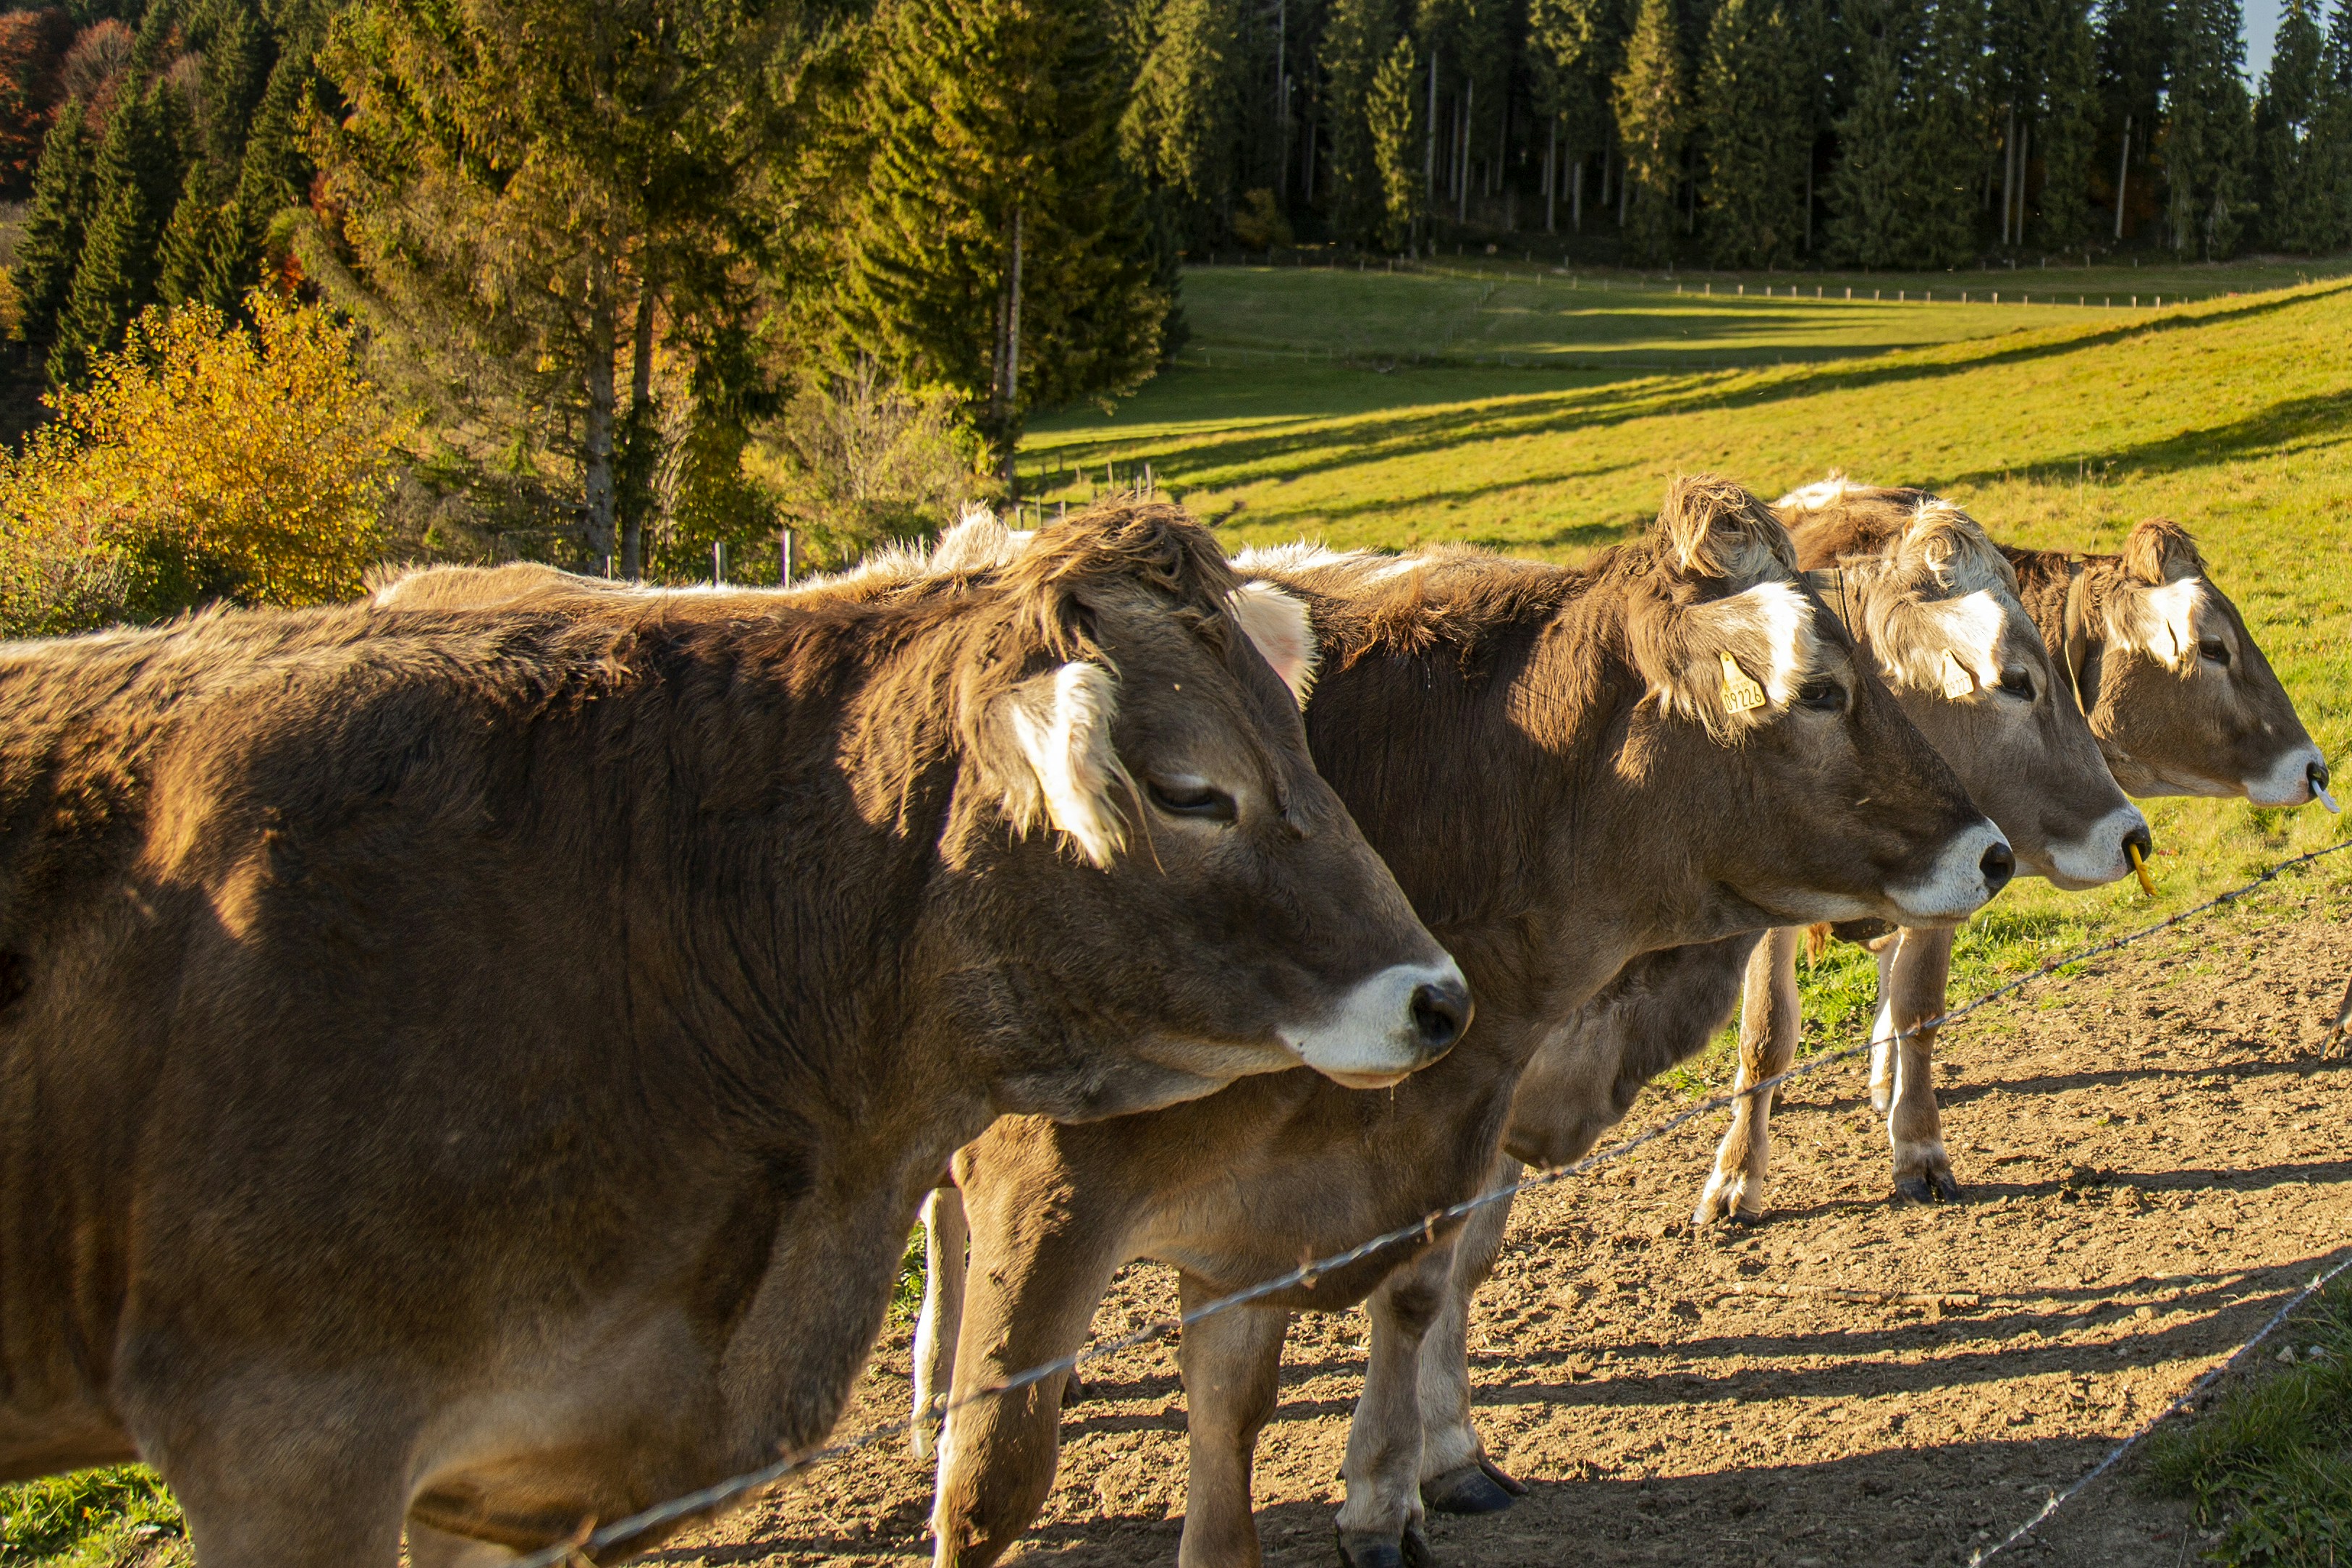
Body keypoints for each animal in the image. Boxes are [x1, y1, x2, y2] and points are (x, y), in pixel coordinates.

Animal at [915, 477, 2009, 1568]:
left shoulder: (1328, 1190)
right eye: (1822, 692)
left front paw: (1404, 1483)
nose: (1991, 853)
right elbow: (991, 1483)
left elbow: (1324, 1360)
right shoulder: (1050, 1200)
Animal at [1400, 487, 2333, 1536]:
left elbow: (1919, 1010)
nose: (2314, 767)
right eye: (2212, 647)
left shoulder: (1957, 872)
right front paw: (1736, 1177)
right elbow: (1766, 1041)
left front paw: (1916, 1145)